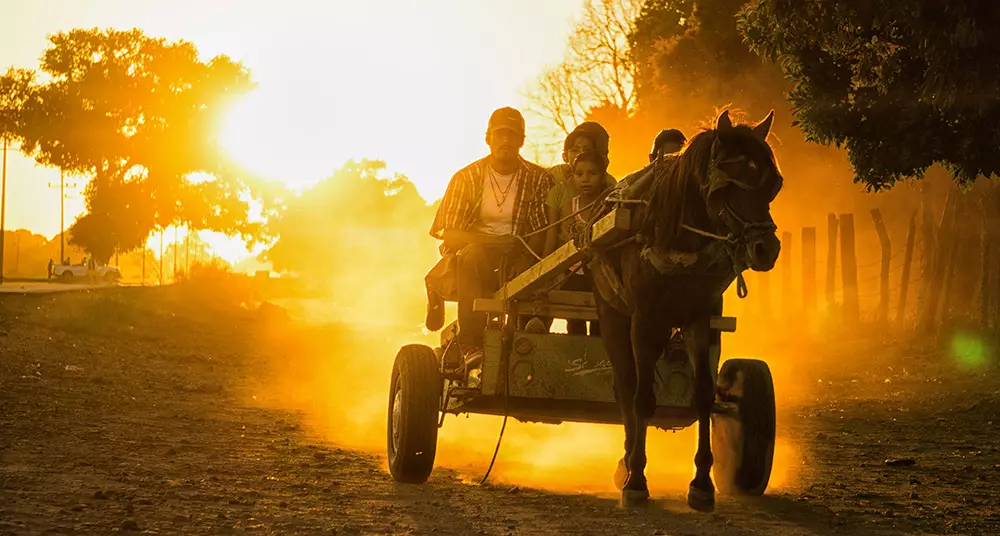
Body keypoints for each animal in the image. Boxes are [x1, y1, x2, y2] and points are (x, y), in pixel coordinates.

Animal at [588, 109, 784, 510]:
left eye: (772, 185)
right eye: (726, 186)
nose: (765, 249)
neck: (677, 239)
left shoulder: (700, 319)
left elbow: (704, 397)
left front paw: (702, 484)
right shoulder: (644, 321)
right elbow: (642, 398)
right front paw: (636, 480)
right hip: (613, 317)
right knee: (626, 388)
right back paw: (627, 462)